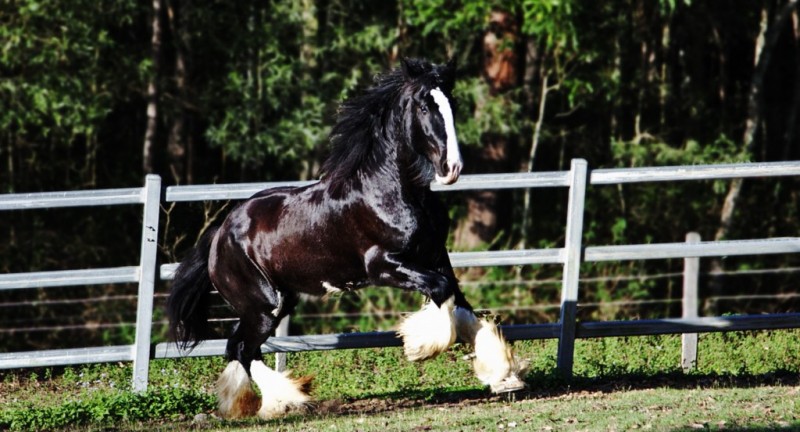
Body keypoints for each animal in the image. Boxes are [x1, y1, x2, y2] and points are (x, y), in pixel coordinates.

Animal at [166, 58, 527, 420]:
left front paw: (504, 377)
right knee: (241, 348)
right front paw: (420, 347)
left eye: (452, 103)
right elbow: (441, 292)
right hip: (263, 305)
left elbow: (462, 306)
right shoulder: (382, 266)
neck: (390, 191)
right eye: (425, 106)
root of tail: (219, 233)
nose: (451, 168)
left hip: (280, 301)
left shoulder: (437, 257)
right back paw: (287, 401)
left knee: (240, 348)